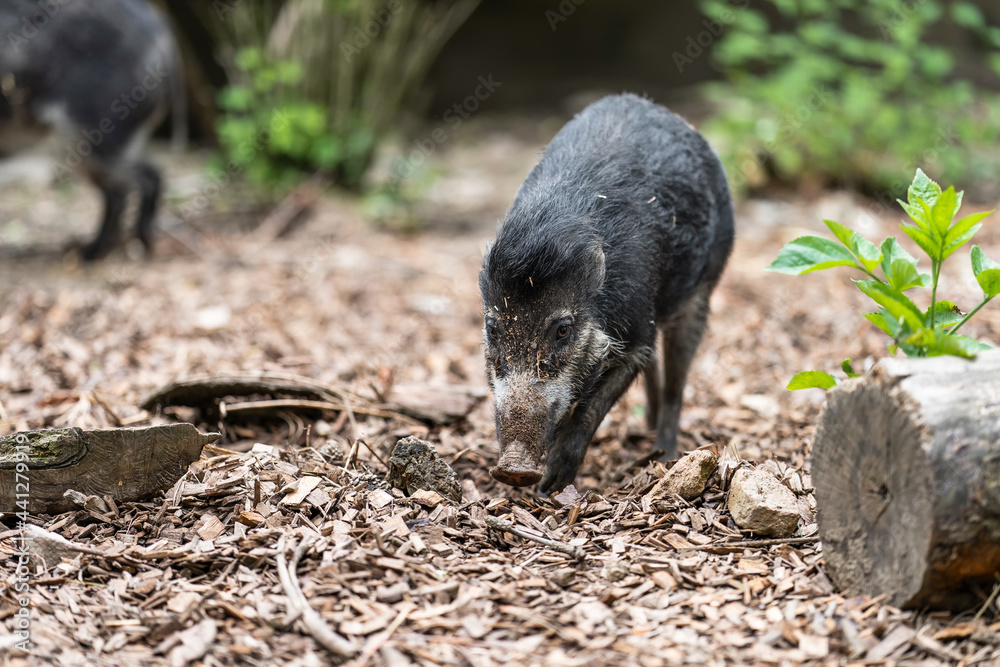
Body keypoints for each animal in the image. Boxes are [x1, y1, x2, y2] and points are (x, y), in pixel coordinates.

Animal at [0, 0, 184, 261]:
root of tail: (165, 36)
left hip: (98, 134)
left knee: (149, 176)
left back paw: (138, 246)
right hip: (85, 147)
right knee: (118, 191)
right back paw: (92, 252)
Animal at [480, 93, 734, 494]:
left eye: (563, 330)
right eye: (493, 329)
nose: (513, 469)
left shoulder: (634, 338)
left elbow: (592, 406)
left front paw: (551, 485)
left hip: (703, 288)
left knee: (677, 377)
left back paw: (664, 453)